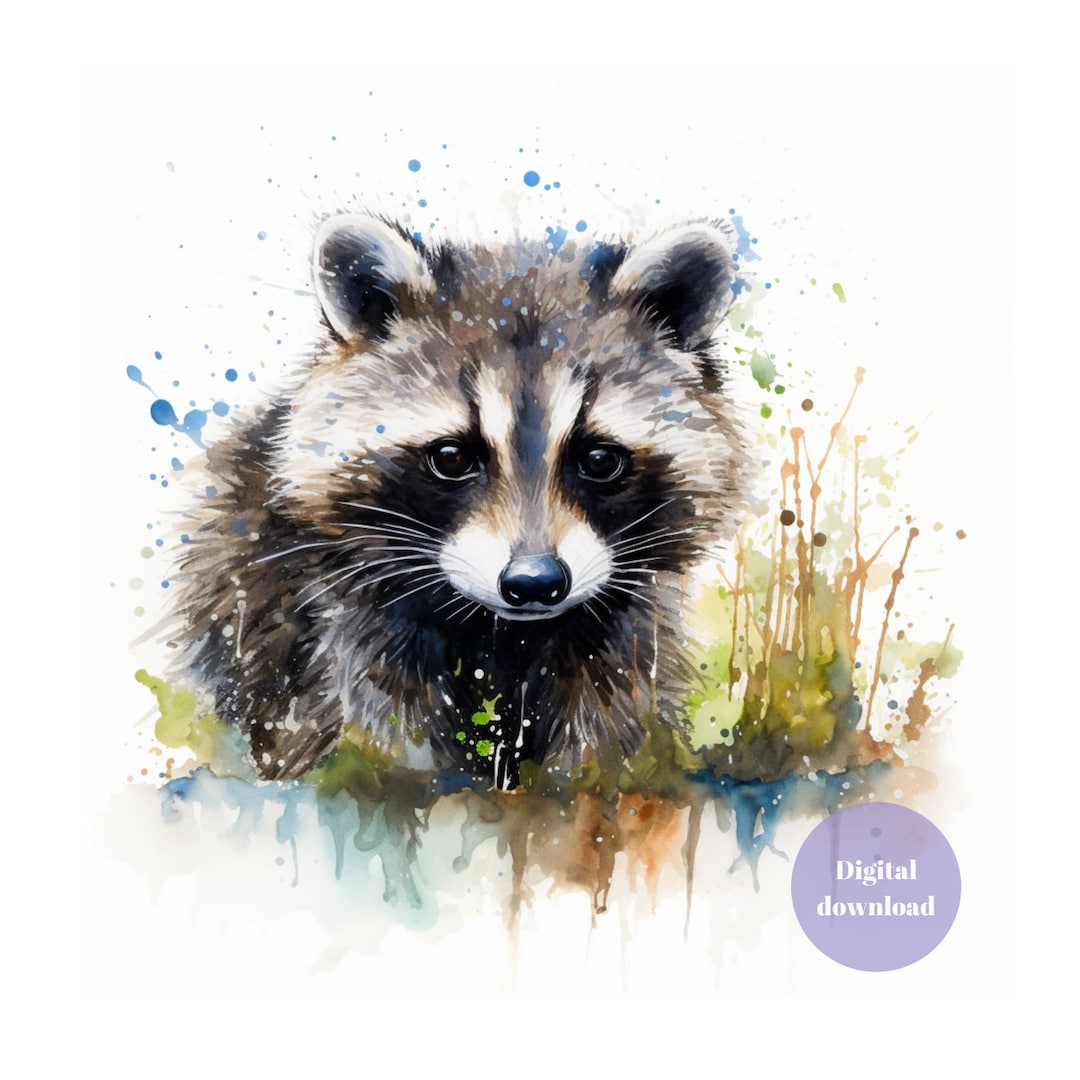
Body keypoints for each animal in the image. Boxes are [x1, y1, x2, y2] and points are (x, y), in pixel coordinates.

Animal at [173, 214, 750, 790]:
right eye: (452, 457)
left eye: (600, 459)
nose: (535, 583)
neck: (505, 636)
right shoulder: (331, 616)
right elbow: (380, 727)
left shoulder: (625, 632)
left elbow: (610, 725)